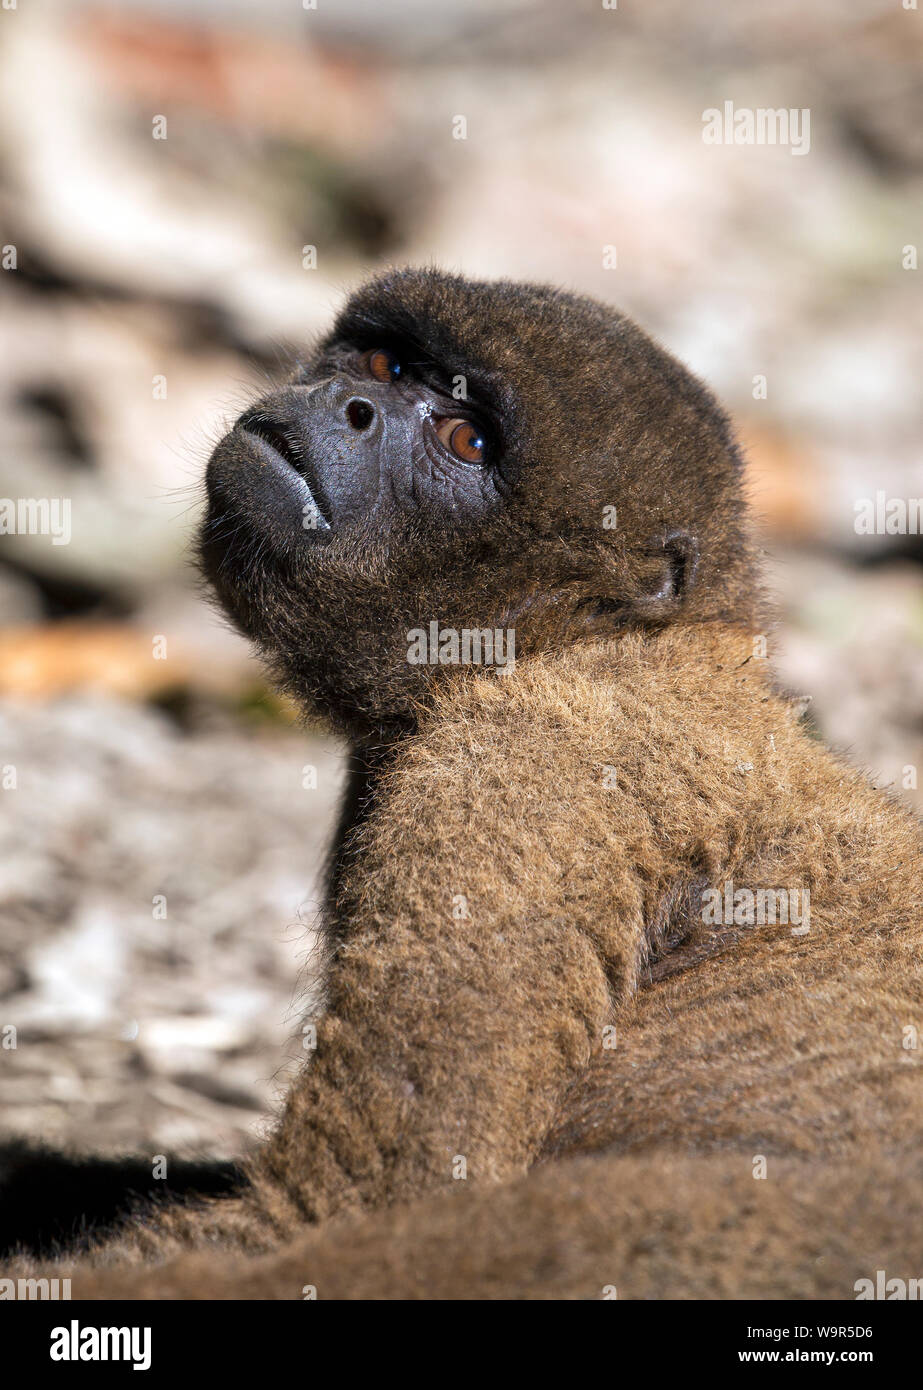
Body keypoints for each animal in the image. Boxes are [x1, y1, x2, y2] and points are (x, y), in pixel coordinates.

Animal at [3, 268, 922, 1298]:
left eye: (466, 441)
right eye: (381, 363)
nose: (349, 404)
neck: (598, 641)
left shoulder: (520, 771)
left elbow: (353, 1198)